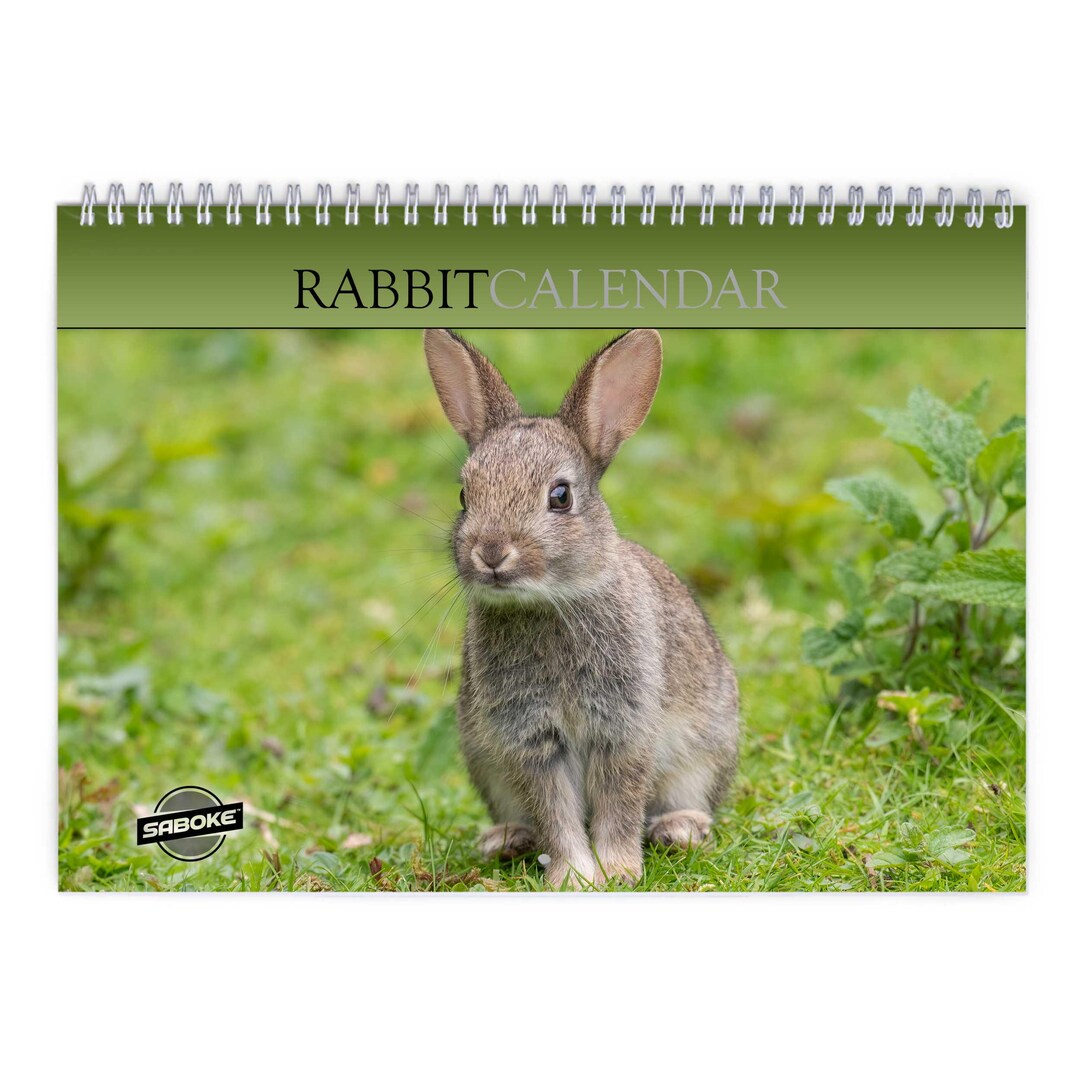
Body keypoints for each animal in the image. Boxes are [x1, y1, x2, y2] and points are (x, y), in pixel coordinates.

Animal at [423, 328, 740, 888]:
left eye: (560, 496)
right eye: (464, 495)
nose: (490, 552)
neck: (550, 603)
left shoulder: (622, 726)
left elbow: (619, 803)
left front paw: (617, 871)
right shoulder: (531, 738)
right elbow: (556, 813)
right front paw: (574, 877)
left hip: (705, 749)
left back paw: (680, 828)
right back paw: (507, 840)